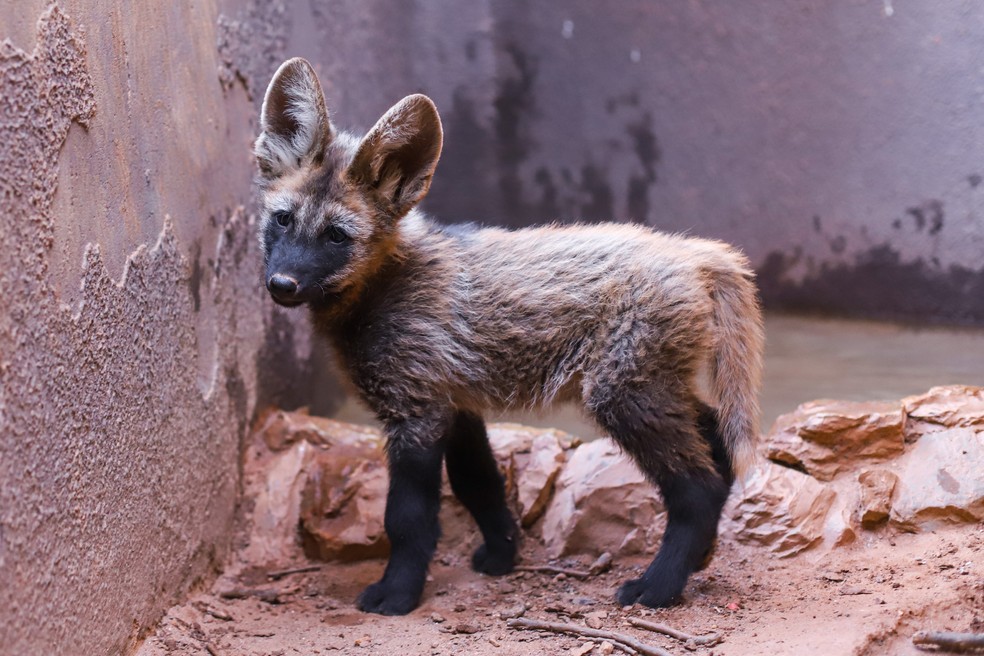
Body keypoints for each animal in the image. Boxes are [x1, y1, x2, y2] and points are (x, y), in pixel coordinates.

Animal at [254, 58, 764, 616]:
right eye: (283, 220)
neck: (382, 286)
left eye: (336, 237)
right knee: (716, 445)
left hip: (621, 398)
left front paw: (399, 593)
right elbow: (481, 487)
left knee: (697, 488)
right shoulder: (454, 406)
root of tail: (695, 253)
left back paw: (658, 586)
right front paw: (502, 557)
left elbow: (407, 520)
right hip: (654, 390)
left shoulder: (415, 413)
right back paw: (700, 558)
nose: (282, 285)